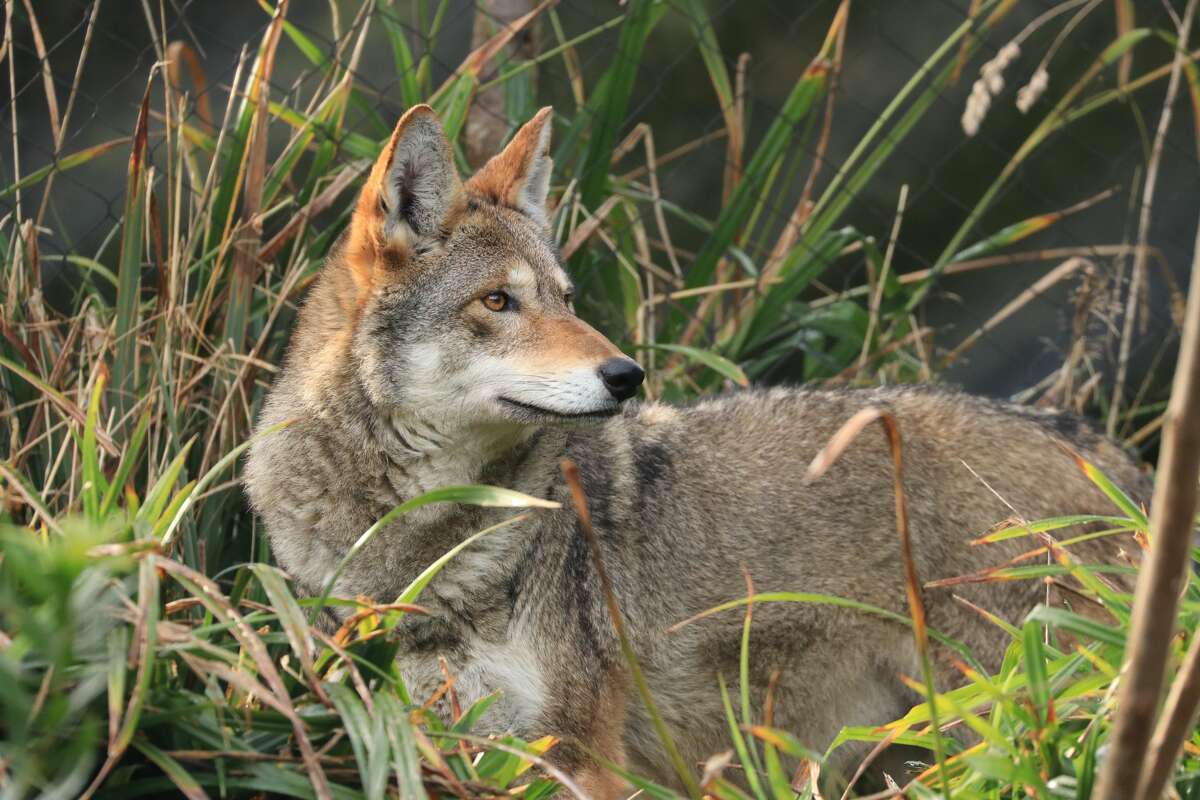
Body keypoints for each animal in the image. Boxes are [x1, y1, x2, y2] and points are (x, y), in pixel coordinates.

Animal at [245, 105, 1148, 797]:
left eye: (567, 301)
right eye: (498, 301)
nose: (625, 374)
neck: (423, 541)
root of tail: (1117, 462)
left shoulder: (581, 755)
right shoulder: (445, 750)